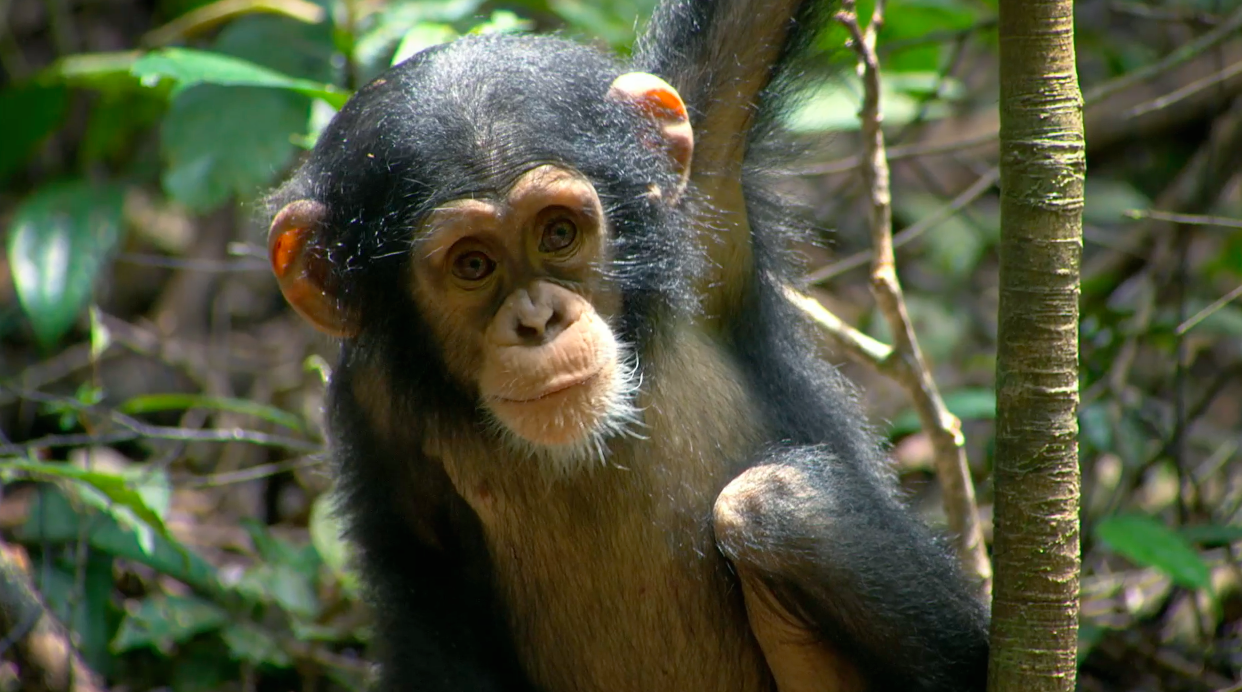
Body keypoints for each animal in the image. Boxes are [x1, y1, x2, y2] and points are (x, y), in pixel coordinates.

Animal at [264, 0, 991, 690]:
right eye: (472, 264)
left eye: (558, 232)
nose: (538, 321)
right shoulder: (372, 403)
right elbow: (427, 600)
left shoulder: (703, 186)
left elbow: (747, 27)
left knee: (777, 505)